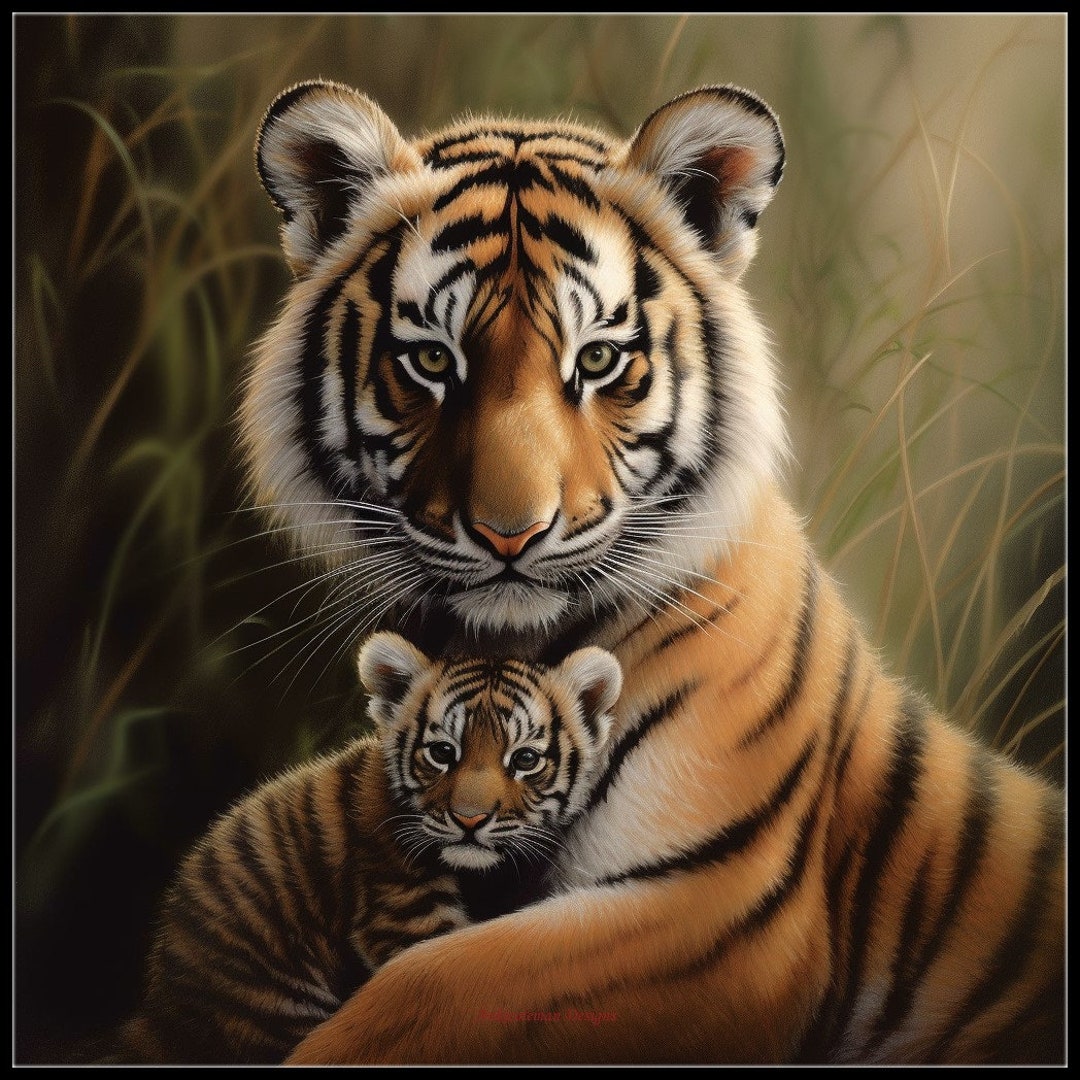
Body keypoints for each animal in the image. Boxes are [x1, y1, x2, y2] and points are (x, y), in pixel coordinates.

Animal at [114, 634, 620, 1063]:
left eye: (525, 759)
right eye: (442, 753)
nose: (469, 820)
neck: (483, 876)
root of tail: (153, 1015)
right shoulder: (403, 912)